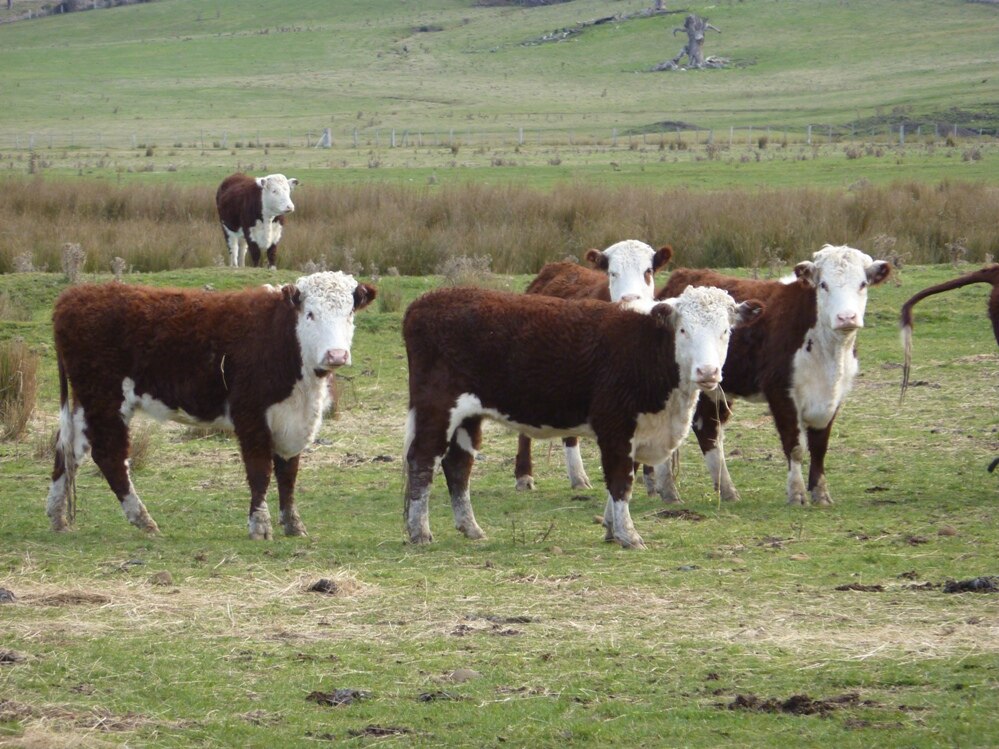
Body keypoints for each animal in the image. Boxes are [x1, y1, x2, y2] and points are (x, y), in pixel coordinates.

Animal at [45, 271, 376, 539]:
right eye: (310, 314)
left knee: (69, 448)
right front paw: (260, 526)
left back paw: (57, 516)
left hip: (86, 402)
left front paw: (293, 524)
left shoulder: (292, 421)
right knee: (109, 456)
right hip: (106, 399)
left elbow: (288, 473)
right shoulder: (250, 415)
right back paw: (143, 520)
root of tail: (74, 296)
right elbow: (260, 470)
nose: (336, 354)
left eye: (349, 313)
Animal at [402, 285, 763, 549]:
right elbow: (620, 481)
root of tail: (425, 301)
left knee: (458, 466)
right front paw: (629, 535)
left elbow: (624, 478)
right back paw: (420, 531)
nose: (708, 372)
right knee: (422, 461)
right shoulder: (616, 425)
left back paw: (470, 528)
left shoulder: (635, 430)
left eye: (726, 331)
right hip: (437, 408)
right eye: (684, 330)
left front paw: (611, 528)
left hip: (468, 416)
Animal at [654, 244, 891, 506]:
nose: (846, 317)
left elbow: (820, 446)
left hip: (714, 387)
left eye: (862, 283)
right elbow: (795, 445)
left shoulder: (834, 396)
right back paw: (669, 491)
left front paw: (821, 494)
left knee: (708, 429)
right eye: (823, 284)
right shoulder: (780, 391)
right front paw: (797, 494)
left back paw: (726, 490)